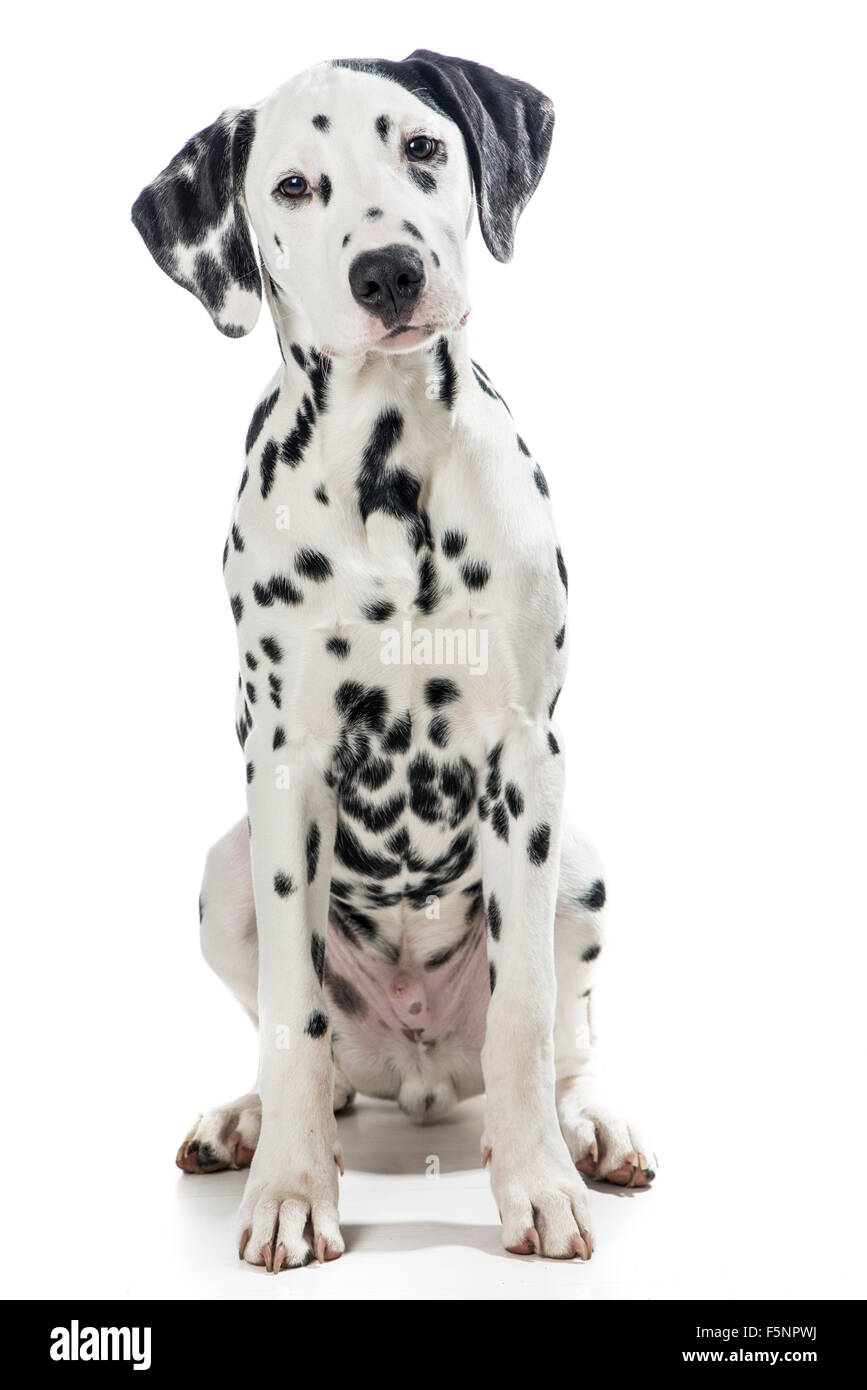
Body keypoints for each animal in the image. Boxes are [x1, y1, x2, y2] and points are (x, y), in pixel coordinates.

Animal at [131, 51, 653, 1273]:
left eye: (421, 147)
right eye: (292, 187)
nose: (389, 271)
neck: (389, 476)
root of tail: (415, 1071)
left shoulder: (526, 760)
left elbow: (526, 1012)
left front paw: (539, 1184)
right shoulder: (284, 770)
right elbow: (293, 1016)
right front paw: (289, 1188)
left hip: (579, 867)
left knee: (562, 1036)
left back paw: (586, 1126)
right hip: (224, 875)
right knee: (314, 1057)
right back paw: (250, 1121)